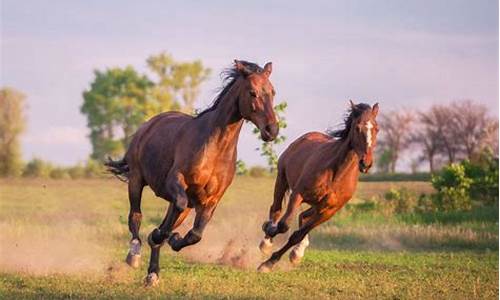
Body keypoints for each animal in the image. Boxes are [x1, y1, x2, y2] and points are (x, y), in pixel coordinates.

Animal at [106, 59, 280, 286]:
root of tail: (149, 124)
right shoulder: (176, 181)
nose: (272, 130)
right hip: (136, 180)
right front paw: (159, 236)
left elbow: (195, 234)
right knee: (135, 216)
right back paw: (134, 254)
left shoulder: (210, 200)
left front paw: (172, 239)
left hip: (185, 206)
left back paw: (153, 273)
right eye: (252, 92)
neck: (215, 148)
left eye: (272, 92)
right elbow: (167, 218)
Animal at [258, 100, 378, 272]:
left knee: (303, 217)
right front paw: (269, 238)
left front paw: (270, 263)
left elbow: (297, 235)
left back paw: (297, 253)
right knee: (276, 209)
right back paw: (266, 242)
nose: (366, 163)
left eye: (377, 128)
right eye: (357, 127)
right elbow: (284, 225)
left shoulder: (328, 211)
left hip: (316, 205)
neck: (336, 174)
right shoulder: (298, 195)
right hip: (282, 178)